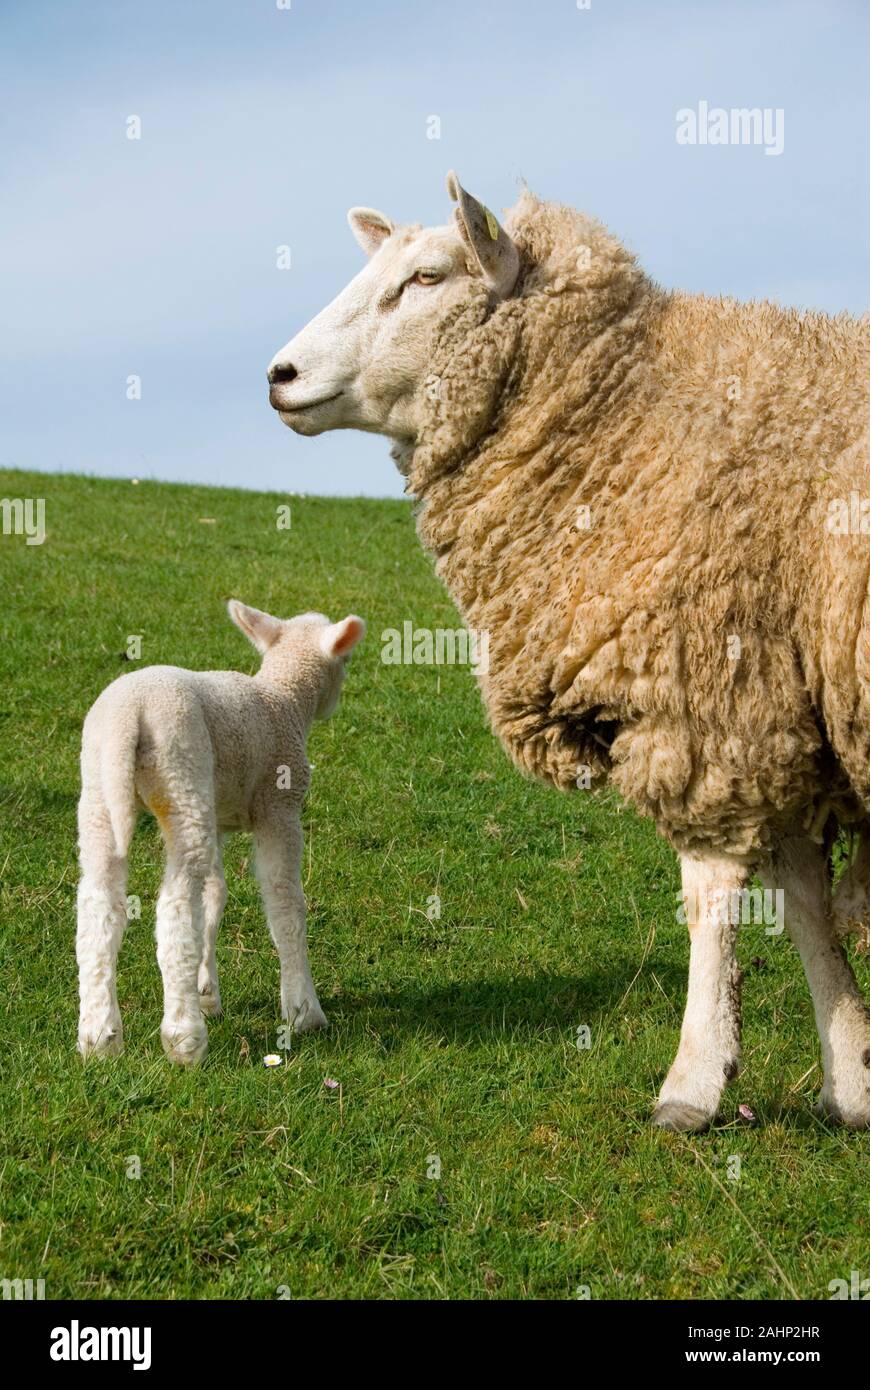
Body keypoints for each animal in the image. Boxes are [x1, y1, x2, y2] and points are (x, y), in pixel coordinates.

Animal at [76, 602, 365, 1065]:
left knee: (98, 907)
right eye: (348, 659)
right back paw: (184, 1039)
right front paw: (303, 1009)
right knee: (174, 910)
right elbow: (285, 903)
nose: (334, 704)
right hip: (182, 768)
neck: (283, 697)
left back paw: (100, 1038)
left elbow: (213, 897)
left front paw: (206, 990)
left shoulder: (217, 819)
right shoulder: (279, 807)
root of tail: (130, 714)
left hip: (105, 792)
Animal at [267, 170, 870, 1130]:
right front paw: (851, 1076)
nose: (278, 377)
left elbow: (712, 893)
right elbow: (805, 901)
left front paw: (694, 1083)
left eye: (428, 277)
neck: (631, 415)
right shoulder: (778, 707)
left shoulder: (706, 699)